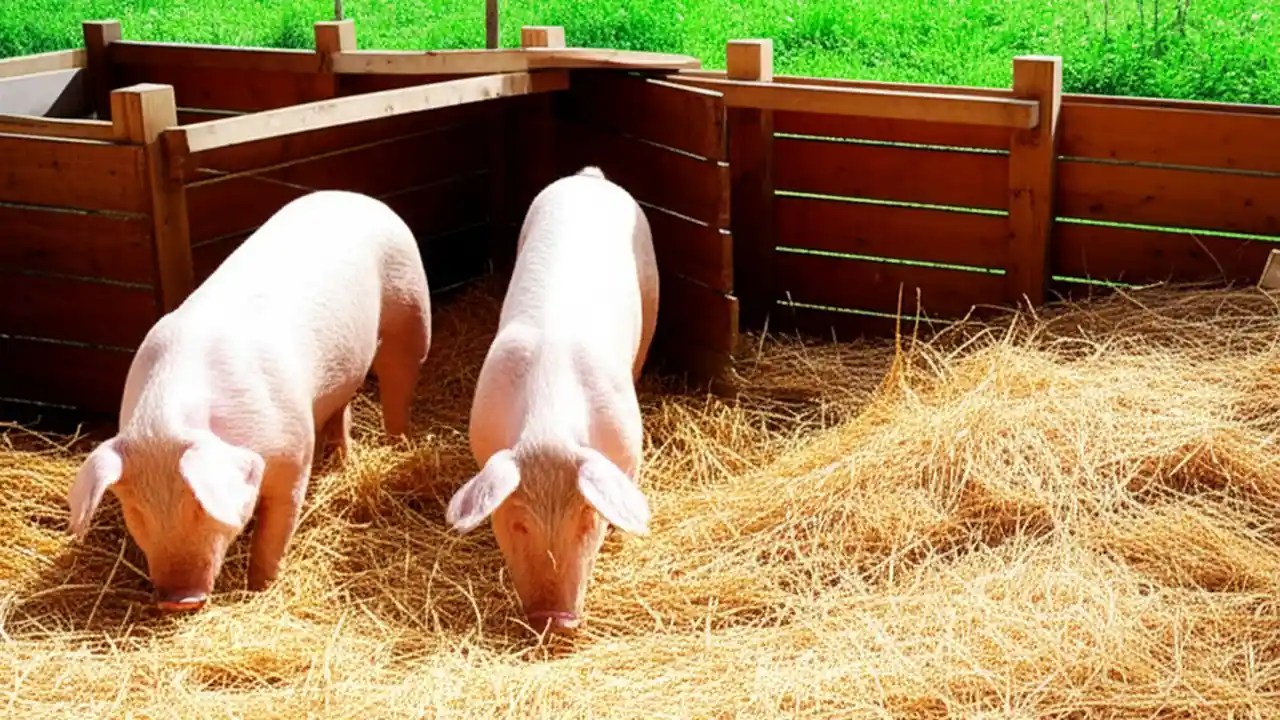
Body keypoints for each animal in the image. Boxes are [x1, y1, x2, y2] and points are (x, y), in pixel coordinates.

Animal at [66, 189, 432, 611]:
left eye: (198, 506)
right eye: (137, 512)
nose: (179, 600)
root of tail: (357, 197)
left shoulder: (294, 454)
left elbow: (276, 529)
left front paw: (259, 589)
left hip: (411, 308)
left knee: (398, 379)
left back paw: (397, 445)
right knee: (342, 408)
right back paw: (343, 461)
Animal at [444, 166, 658, 634]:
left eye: (587, 520)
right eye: (518, 523)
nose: (553, 619)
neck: (549, 422)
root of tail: (589, 177)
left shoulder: (628, 443)